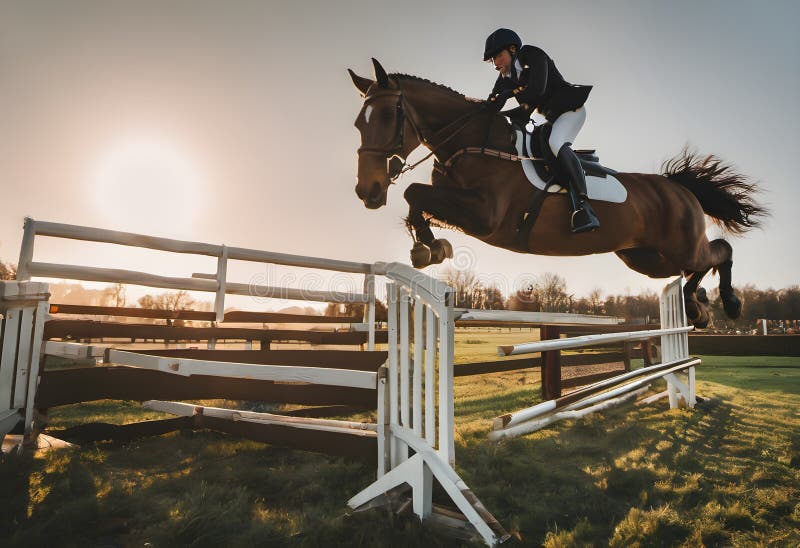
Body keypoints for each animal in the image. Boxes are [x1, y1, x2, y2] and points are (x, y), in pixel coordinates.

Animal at [348, 59, 767, 328]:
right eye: (357, 123)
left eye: (387, 116)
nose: (368, 191)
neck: (469, 141)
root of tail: (677, 186)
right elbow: (416, 200)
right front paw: (428, 247)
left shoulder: (484, 217)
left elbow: (414, 192)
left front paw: (430, 247)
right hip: (645, 257)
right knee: (693, 268)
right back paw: (697, 306)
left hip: (678, 245)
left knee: (718, 251)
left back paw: (728, 303)